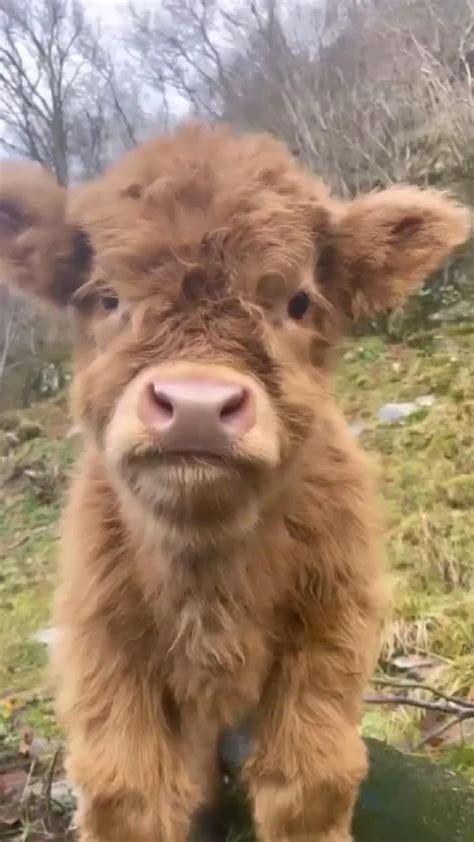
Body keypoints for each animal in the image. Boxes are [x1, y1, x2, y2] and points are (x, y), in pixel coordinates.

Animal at [0, 123, 470, 842]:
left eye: (297, 301)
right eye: (108, 296)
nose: (195, 406)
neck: (208, 568)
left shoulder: (332, 625)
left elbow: (309, 784)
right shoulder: (102, 641)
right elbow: (128, 794)